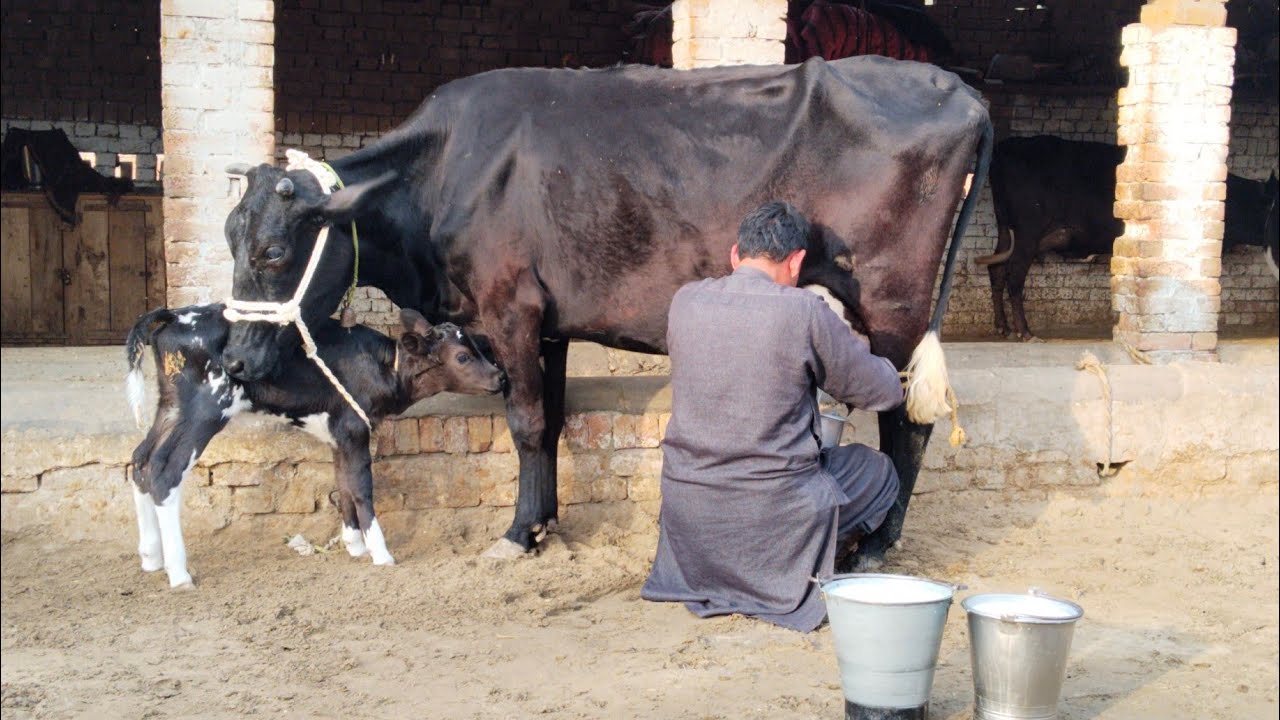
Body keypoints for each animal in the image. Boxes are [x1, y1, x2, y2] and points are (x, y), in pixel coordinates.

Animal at [125, 305, 502, 587]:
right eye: (463, 357)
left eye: (478, 347)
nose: (500, 377)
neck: (383, 368)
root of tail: (175, 314)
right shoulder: (353, 428)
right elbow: (361, 488)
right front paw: (380, 553)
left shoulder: (340, 434)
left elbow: (343, 484)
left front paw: (354, 546)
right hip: (205, 409)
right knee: (165, 471)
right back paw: (178, 572)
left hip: (171, 407)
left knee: (141, 461)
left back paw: (151, 557)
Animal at [219, 56, 993, 570]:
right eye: (229, 235)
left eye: (272, 251)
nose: (234, 359)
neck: (442, 174)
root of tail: (957, 88)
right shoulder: (550, 319)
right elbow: (553, 422)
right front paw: (544, 525)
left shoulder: (511, 306)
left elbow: (526, 423)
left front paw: (516, 535)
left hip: (892, 305)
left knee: (907, 422)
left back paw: (876, 546)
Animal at [979, 134, 1279, 340]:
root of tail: (1006, 147)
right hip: (1028, 232)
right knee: (1014, 277)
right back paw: (1025, 331)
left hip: (1006, 229)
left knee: (996, 270)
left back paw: (1002, 326)